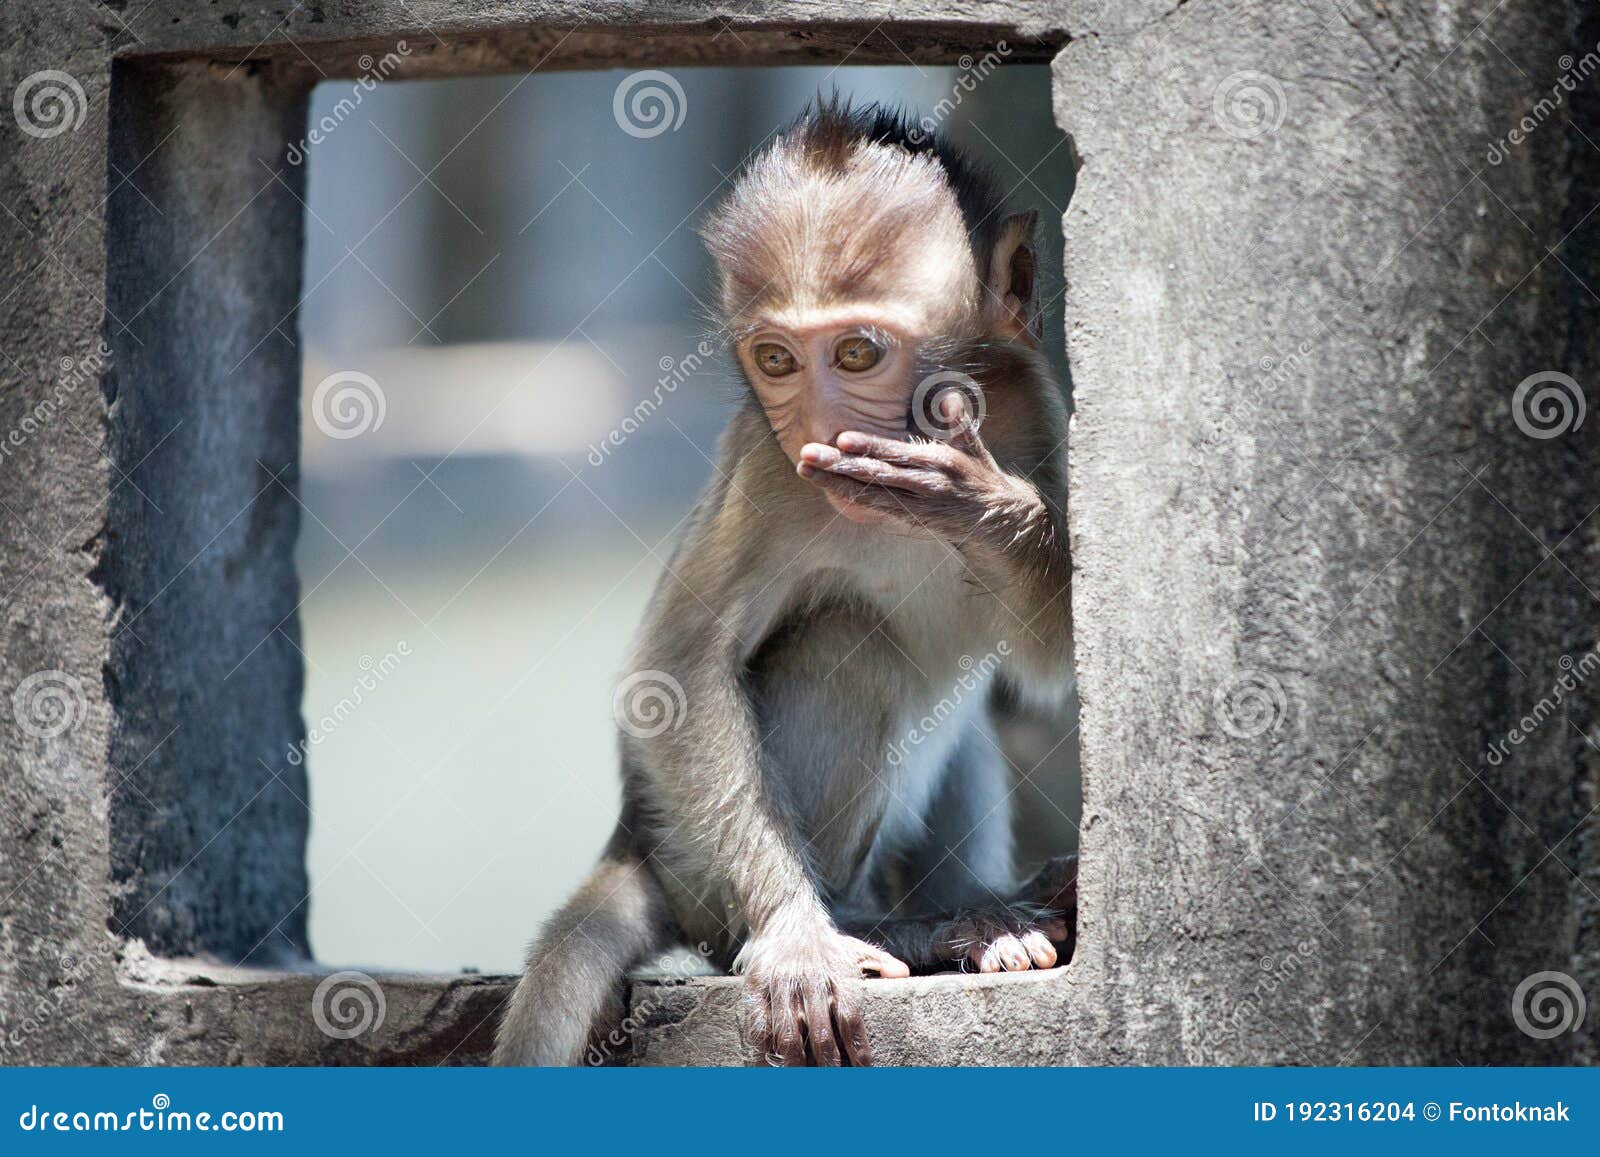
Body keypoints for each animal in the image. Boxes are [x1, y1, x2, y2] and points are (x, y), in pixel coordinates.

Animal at [493, 99, 1076, 1068]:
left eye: (857, 353)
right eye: (776, 361)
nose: (819, 419)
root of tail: (636, 836)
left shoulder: (1037, 403)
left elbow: (1050, 657)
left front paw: (978, 504)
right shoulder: (773, 471)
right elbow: (681, 666)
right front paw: (798, 940)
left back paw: (978, 912)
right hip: (699, 873)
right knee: (854, 645)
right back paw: (882, 926)